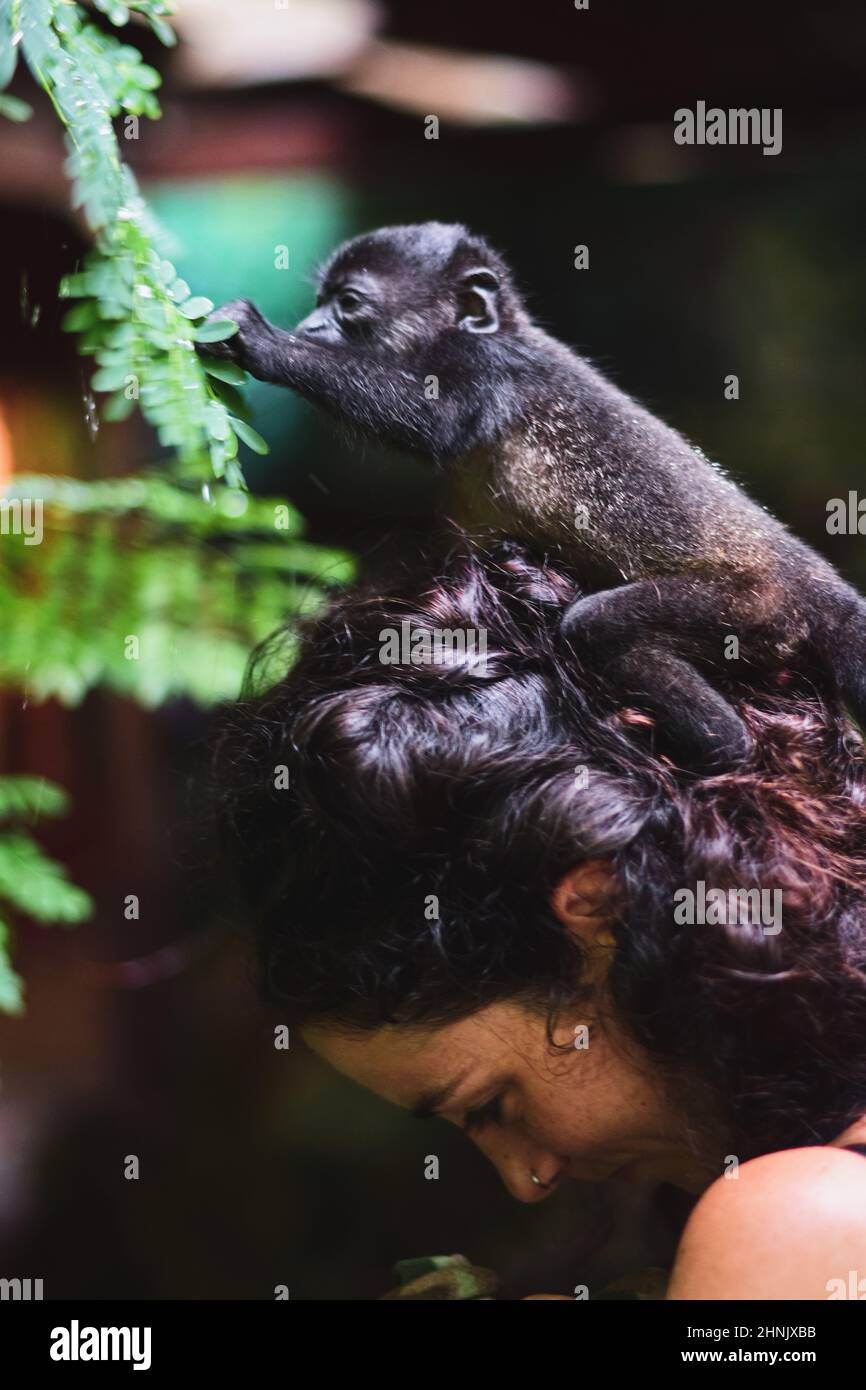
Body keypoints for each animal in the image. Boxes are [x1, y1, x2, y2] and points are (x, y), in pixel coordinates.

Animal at [199, 221, 866, 770]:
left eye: (348, 303)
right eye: (320, 302)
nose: (310, 328)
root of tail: (817, 582)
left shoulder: (488, 368)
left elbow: (433, 420)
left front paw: (261, 341)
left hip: (757, 608)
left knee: (596, 626)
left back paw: (723, 747)